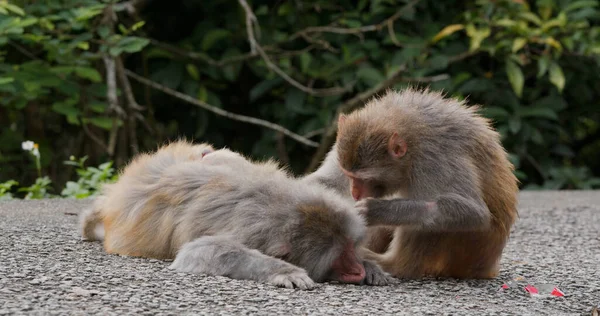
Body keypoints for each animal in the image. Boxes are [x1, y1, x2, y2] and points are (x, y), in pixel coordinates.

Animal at [79, 141, 390, 288]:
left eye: (351, 246)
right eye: (340, 255)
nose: (358, 268)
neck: (284, 207)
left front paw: (372, 267)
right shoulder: (252, 232)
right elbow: (201, 252)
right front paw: (285, 271)